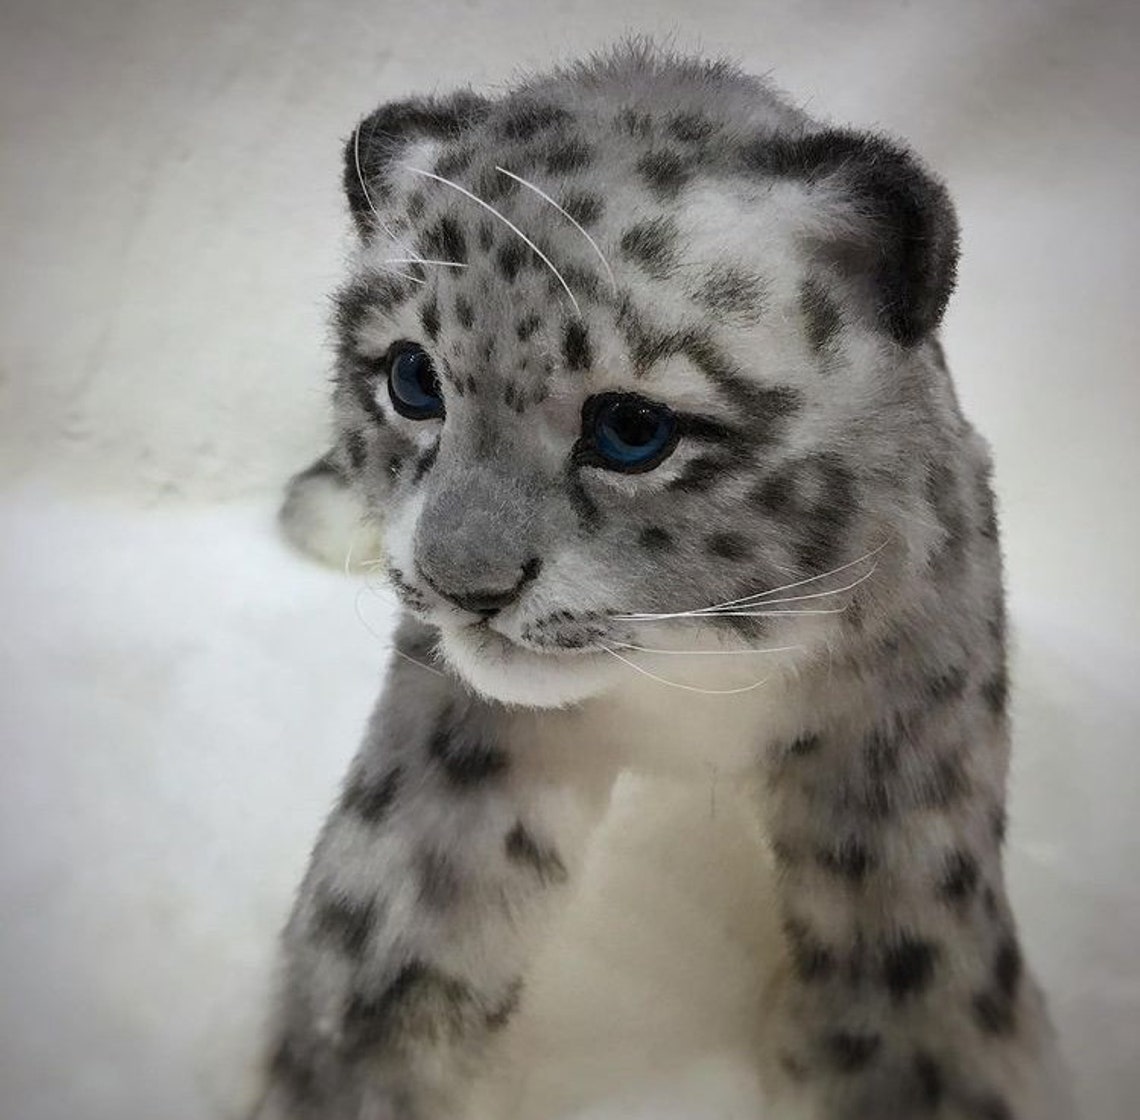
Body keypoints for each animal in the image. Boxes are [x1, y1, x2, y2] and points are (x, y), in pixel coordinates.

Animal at [257, 42, 1073, 1120]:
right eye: (413, 379)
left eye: (632, 429)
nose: (462, 584)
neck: (700, 674)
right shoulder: (459, 722)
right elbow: (381, 914)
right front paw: (341, 1075)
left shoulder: (907, 711)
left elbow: (912, 921)